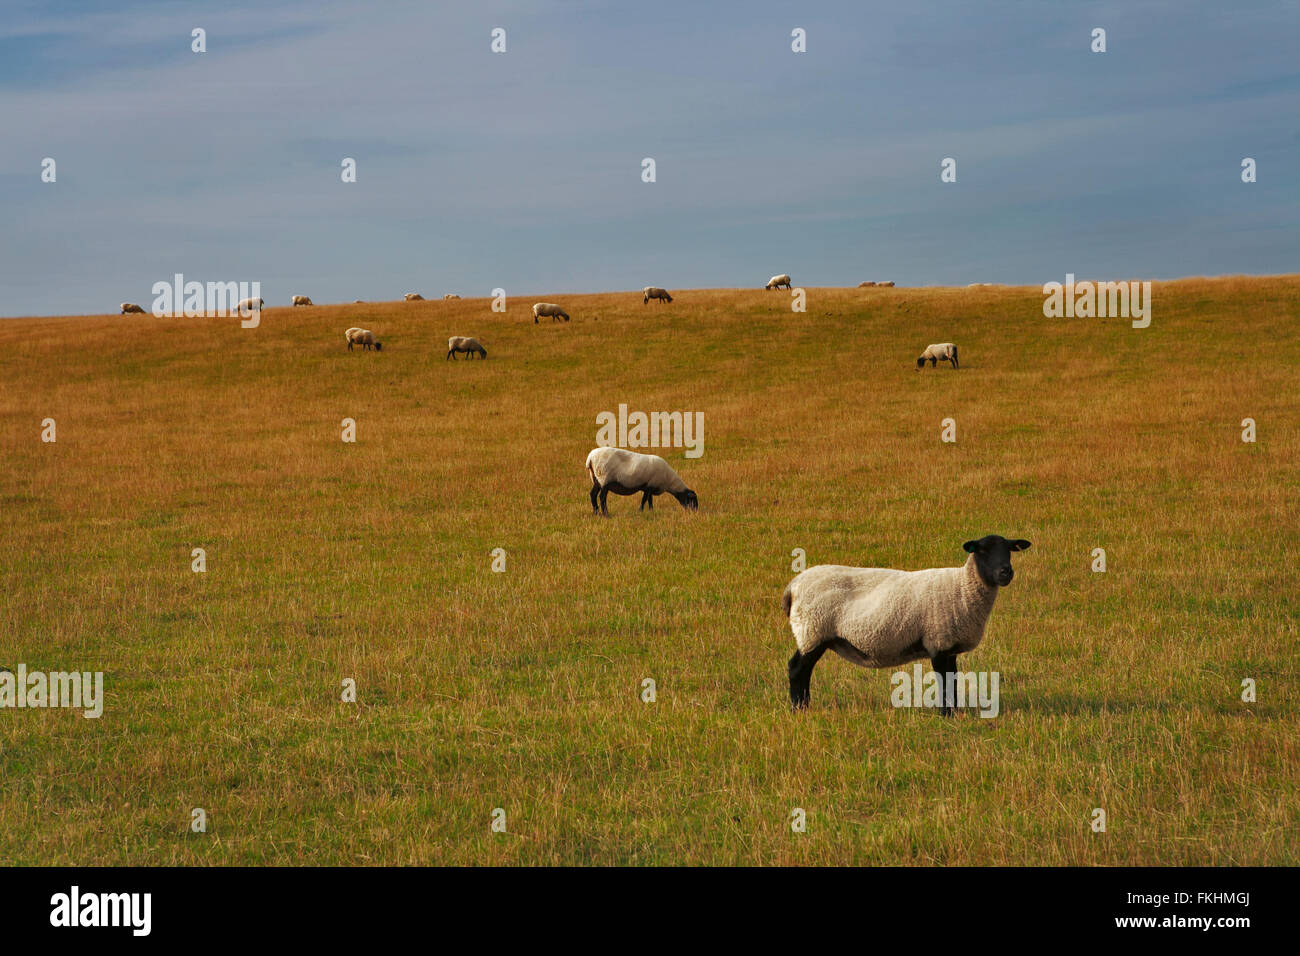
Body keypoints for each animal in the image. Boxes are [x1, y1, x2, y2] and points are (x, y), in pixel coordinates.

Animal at [784, 535, 1031, 713]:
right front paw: (946, 714)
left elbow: (952, 680)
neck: (962, 586)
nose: (1006, 572)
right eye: (982, 551)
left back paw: (804, 706)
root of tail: (793, 585)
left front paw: (955, 711)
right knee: (797, 668)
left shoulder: (949, 646)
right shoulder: (937, 641)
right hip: (812, 631)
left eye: (1009, 550)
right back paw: (799, 709)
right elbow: (944, 681)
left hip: (812, 633)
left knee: (803, 670)